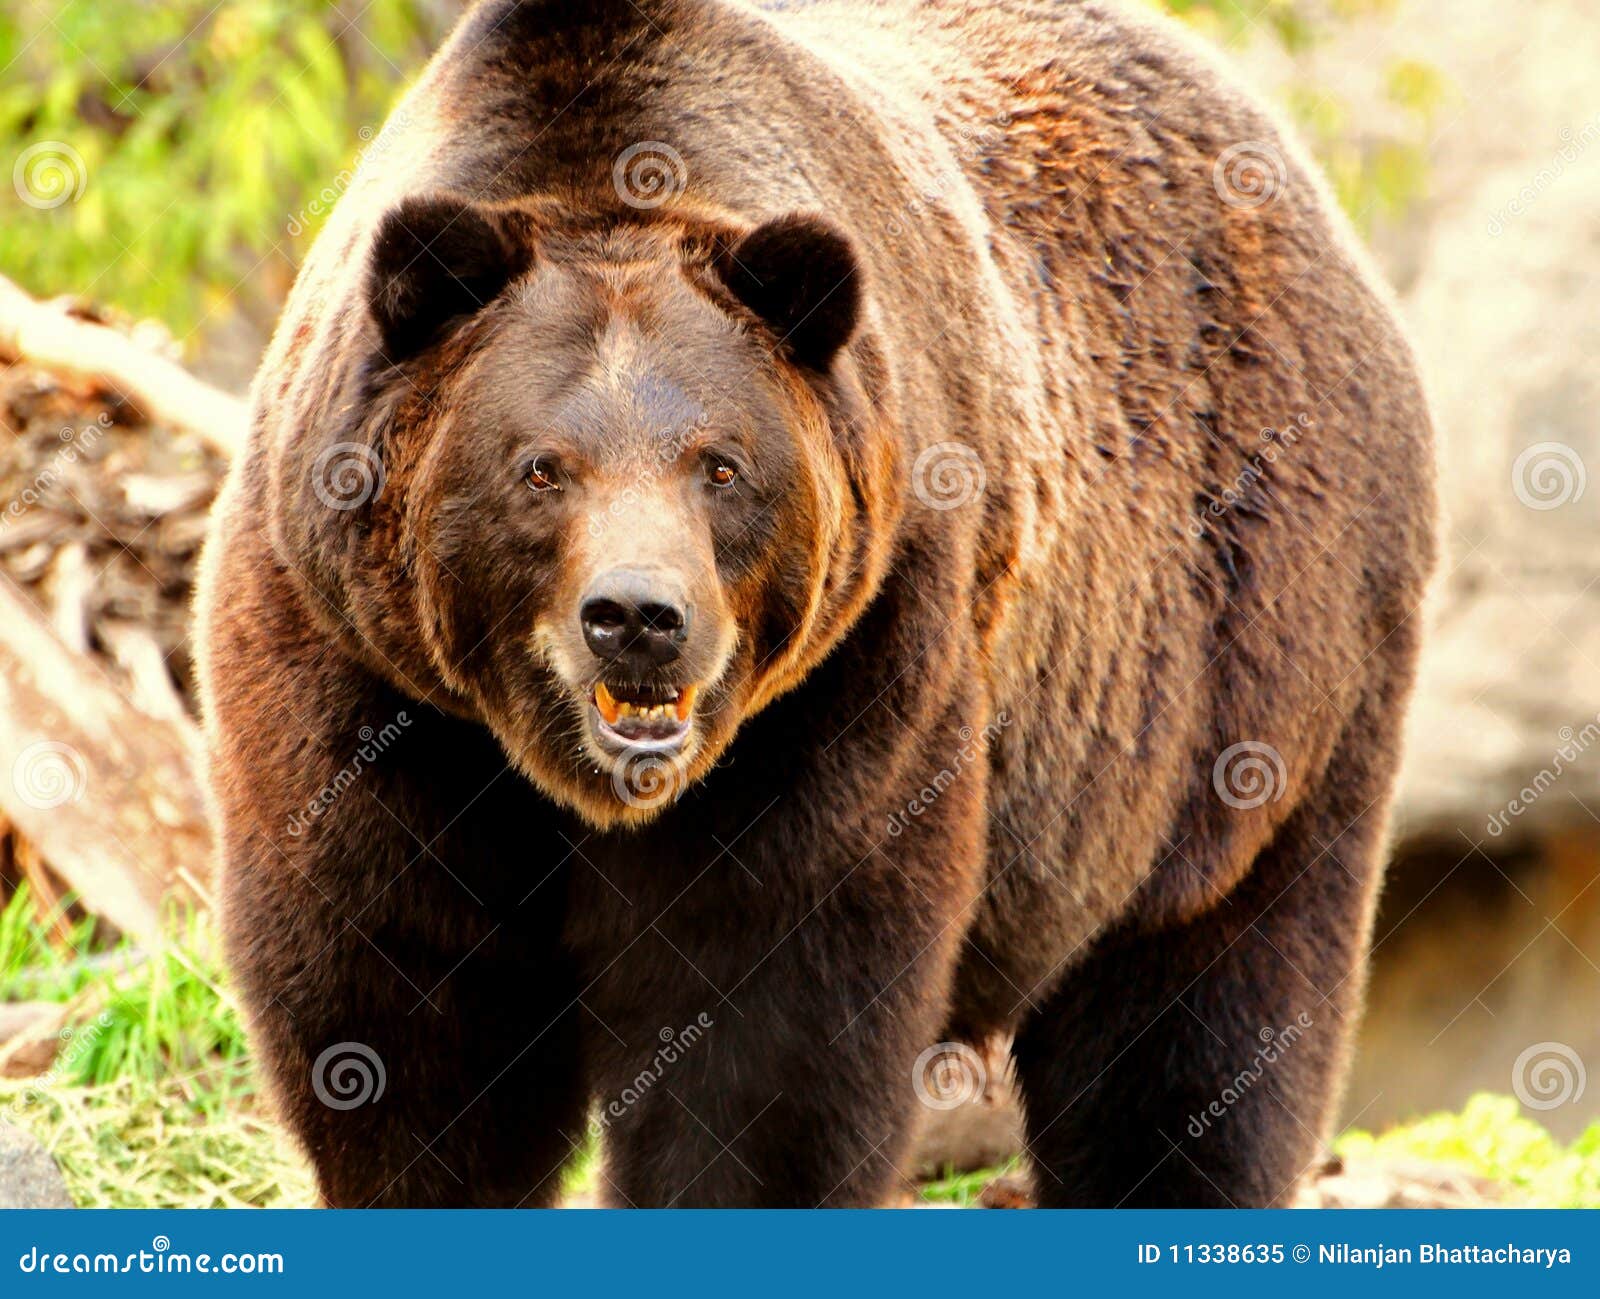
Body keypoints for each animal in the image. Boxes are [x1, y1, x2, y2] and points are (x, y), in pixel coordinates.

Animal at [196, 0, 1437, 1208]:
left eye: (720, 465)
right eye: (541, 467)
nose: (637, 617)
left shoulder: (853, 670)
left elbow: (767, 1034)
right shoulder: (362, 673)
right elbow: (404, 1009)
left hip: (1249, 679)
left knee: (1203, 1016)